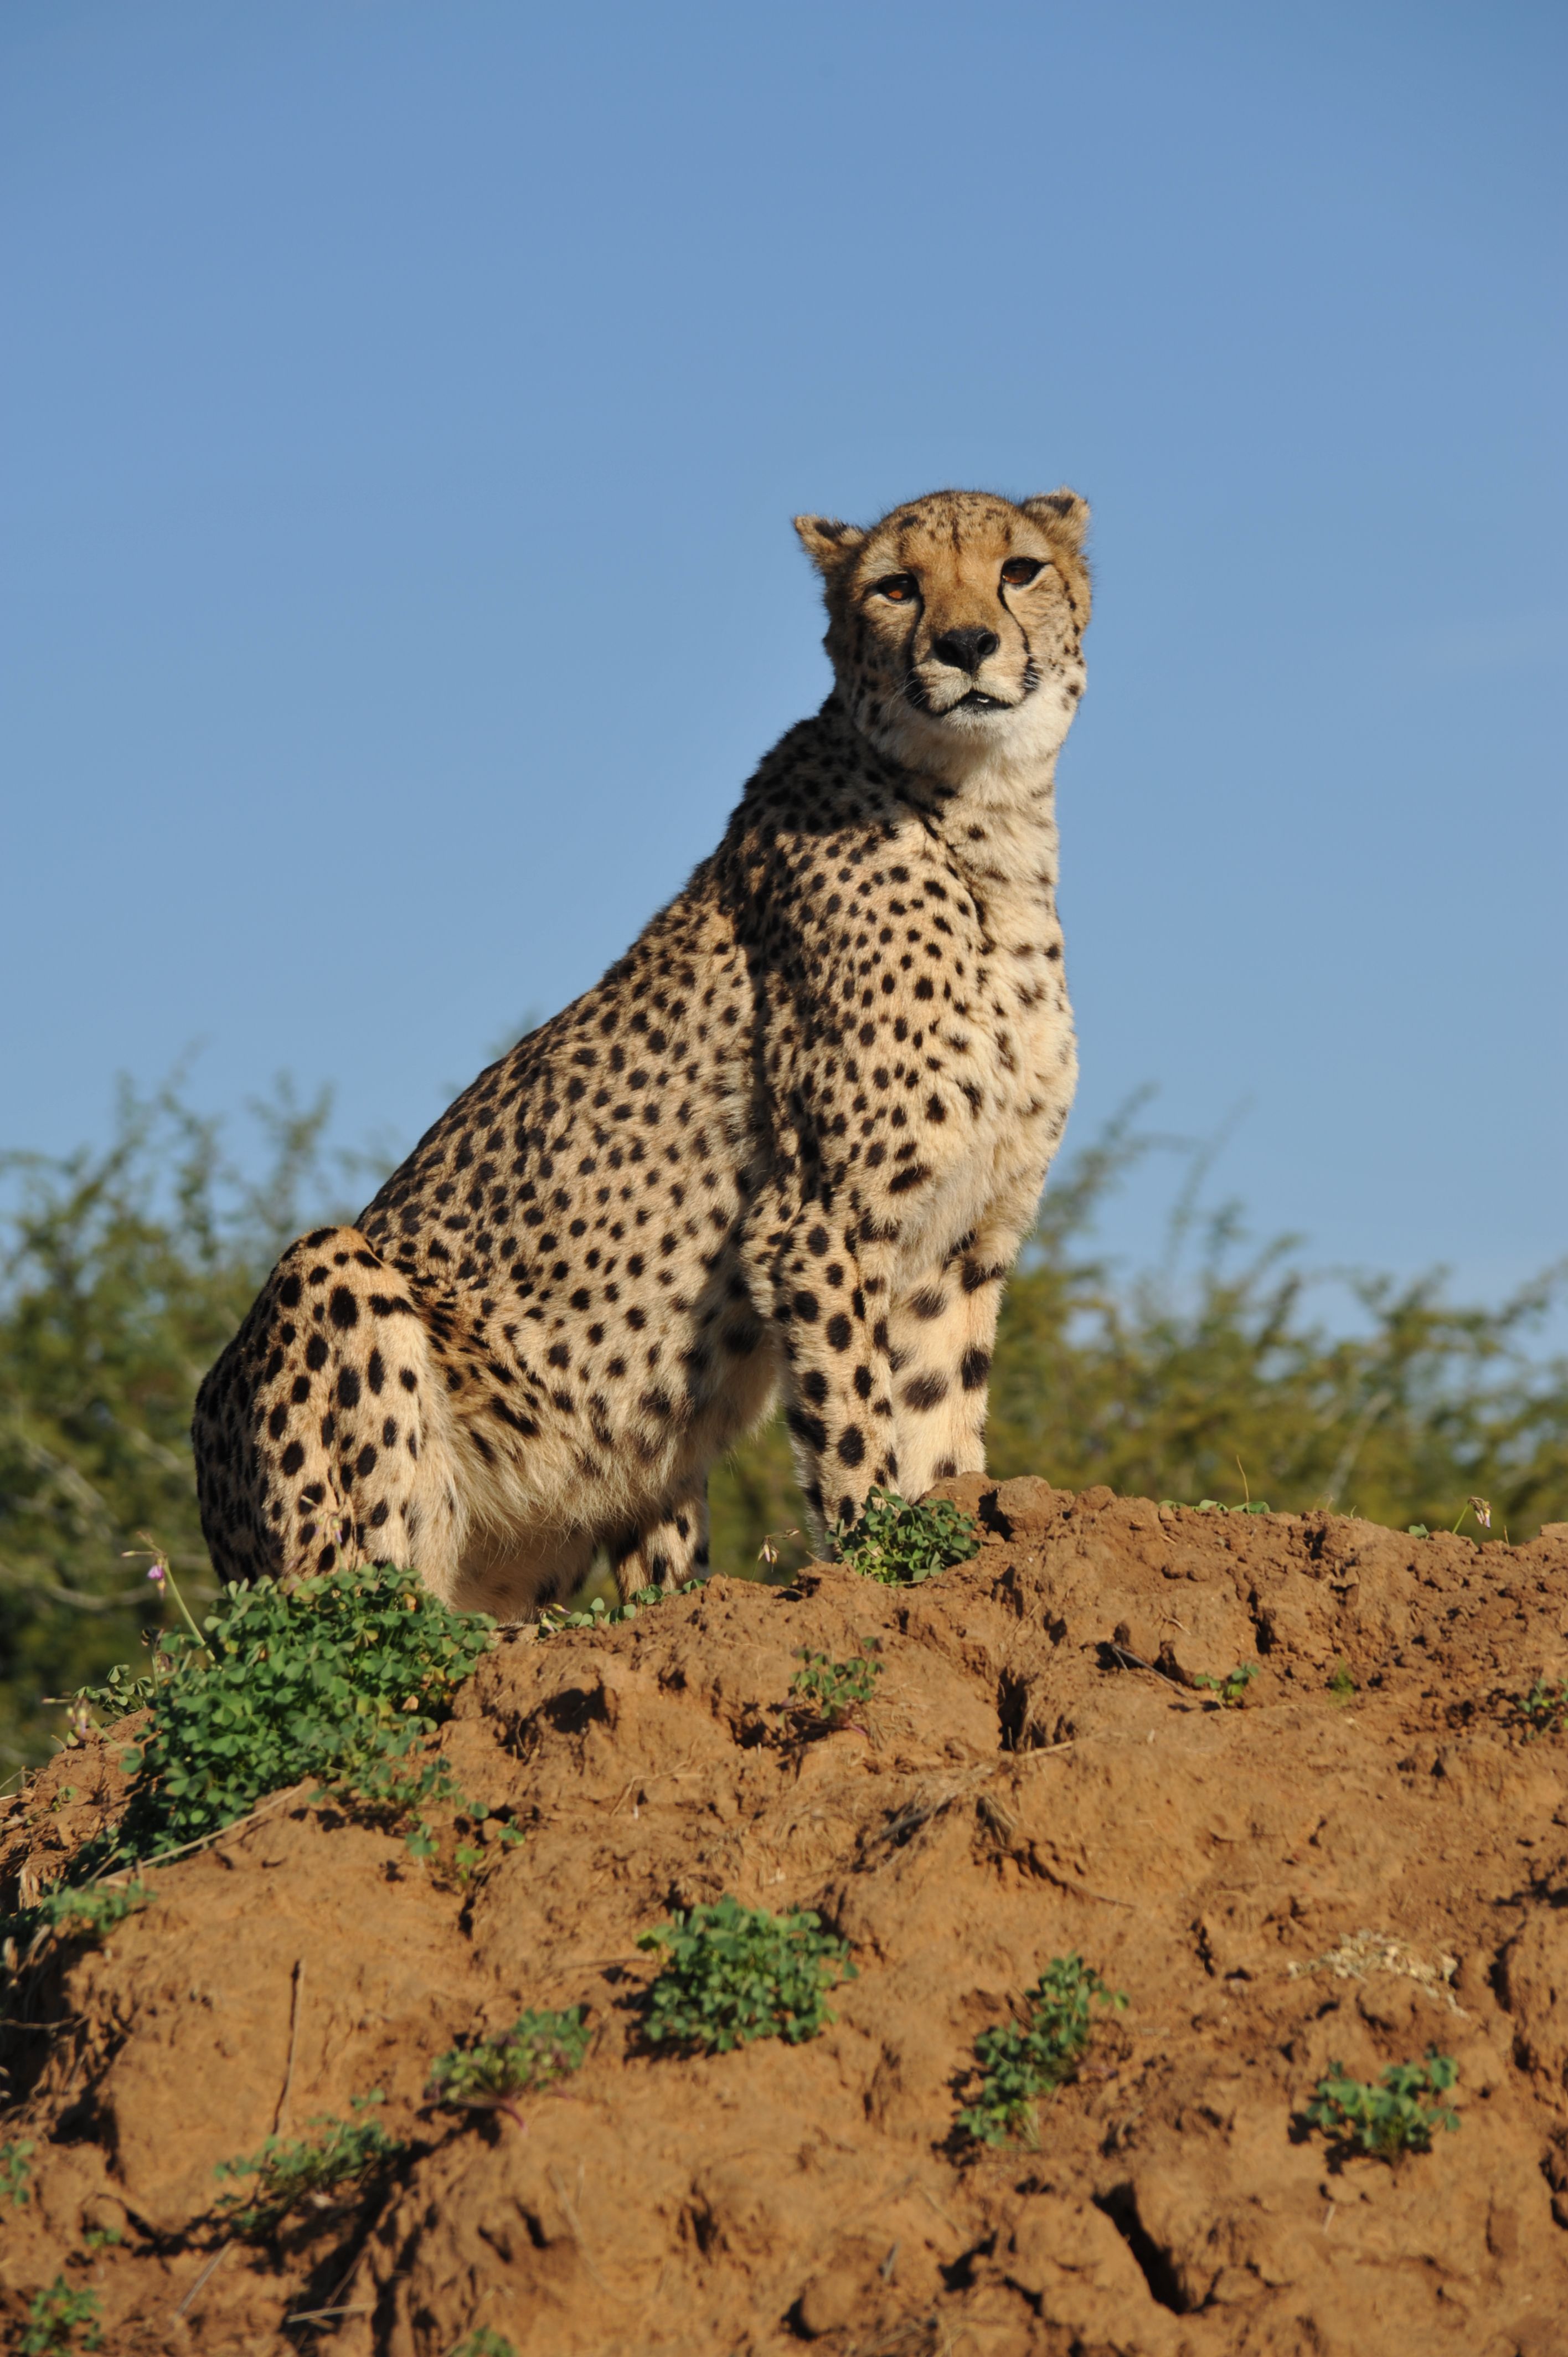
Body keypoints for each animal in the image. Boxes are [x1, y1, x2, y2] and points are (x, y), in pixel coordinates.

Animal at [192, 485, 1091, 1616]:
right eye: (897, 587)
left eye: (1019, 570)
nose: (966, 645)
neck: (986, 821)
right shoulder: (815, 1222)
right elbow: (854, 1429)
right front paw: (878, 1563)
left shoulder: (963, 1240)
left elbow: (939, 1421)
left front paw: (958, 1546)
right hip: (337, 1296)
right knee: (367, 1609)